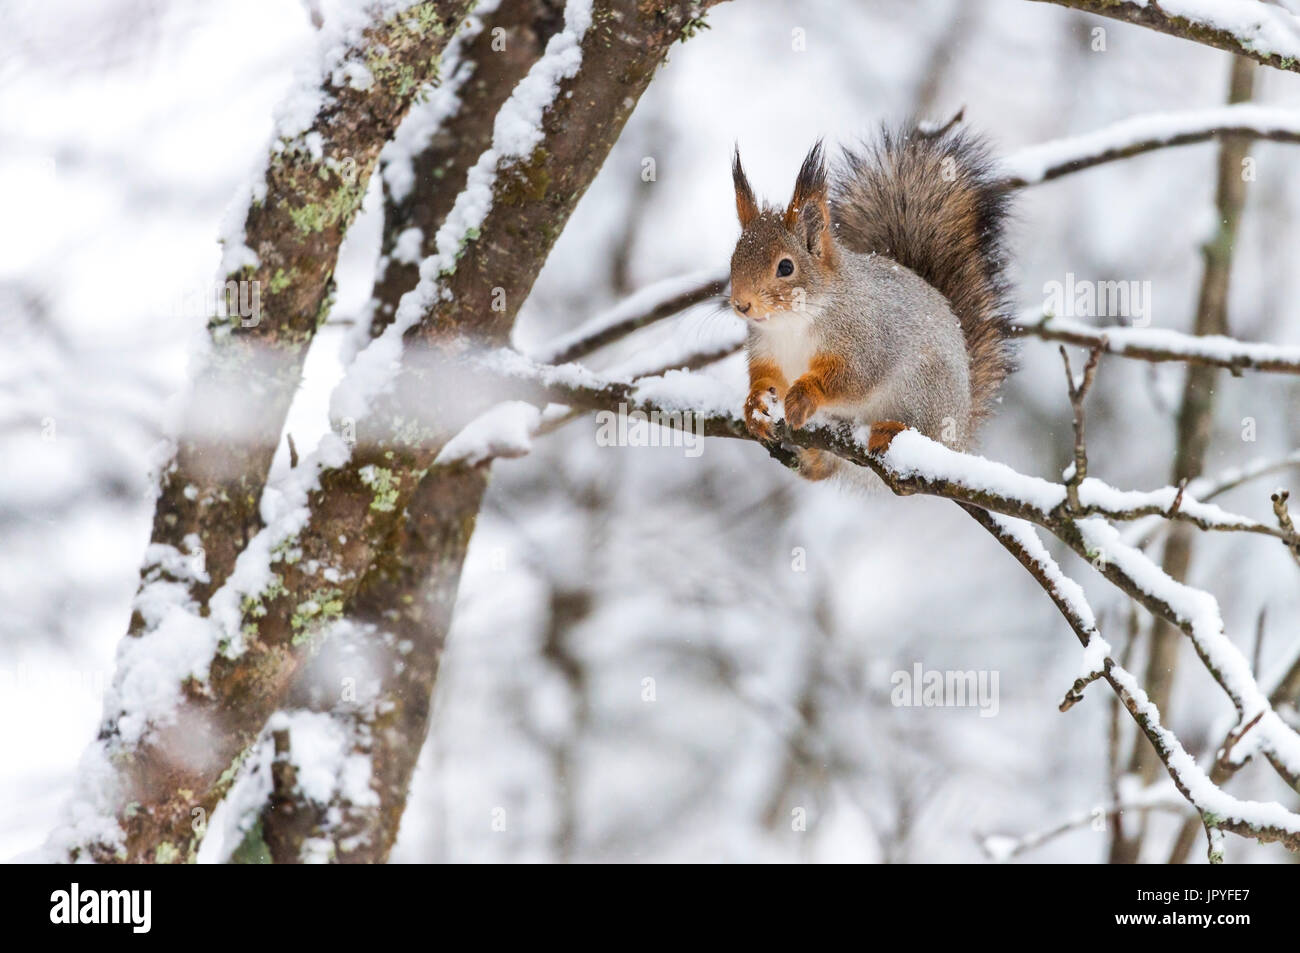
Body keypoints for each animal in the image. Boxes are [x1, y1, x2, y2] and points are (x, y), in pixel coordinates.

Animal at [729, 123, 1015, 481]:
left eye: (785, 267)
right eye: (733, 259)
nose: (741, 304)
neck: (792, 325)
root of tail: (961, 432)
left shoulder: (866, 339)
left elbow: (853, 378)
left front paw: (804, 395)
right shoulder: (766, 351)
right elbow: (765, 378)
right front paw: (755, 404)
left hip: (924, 393)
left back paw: (890, 431)